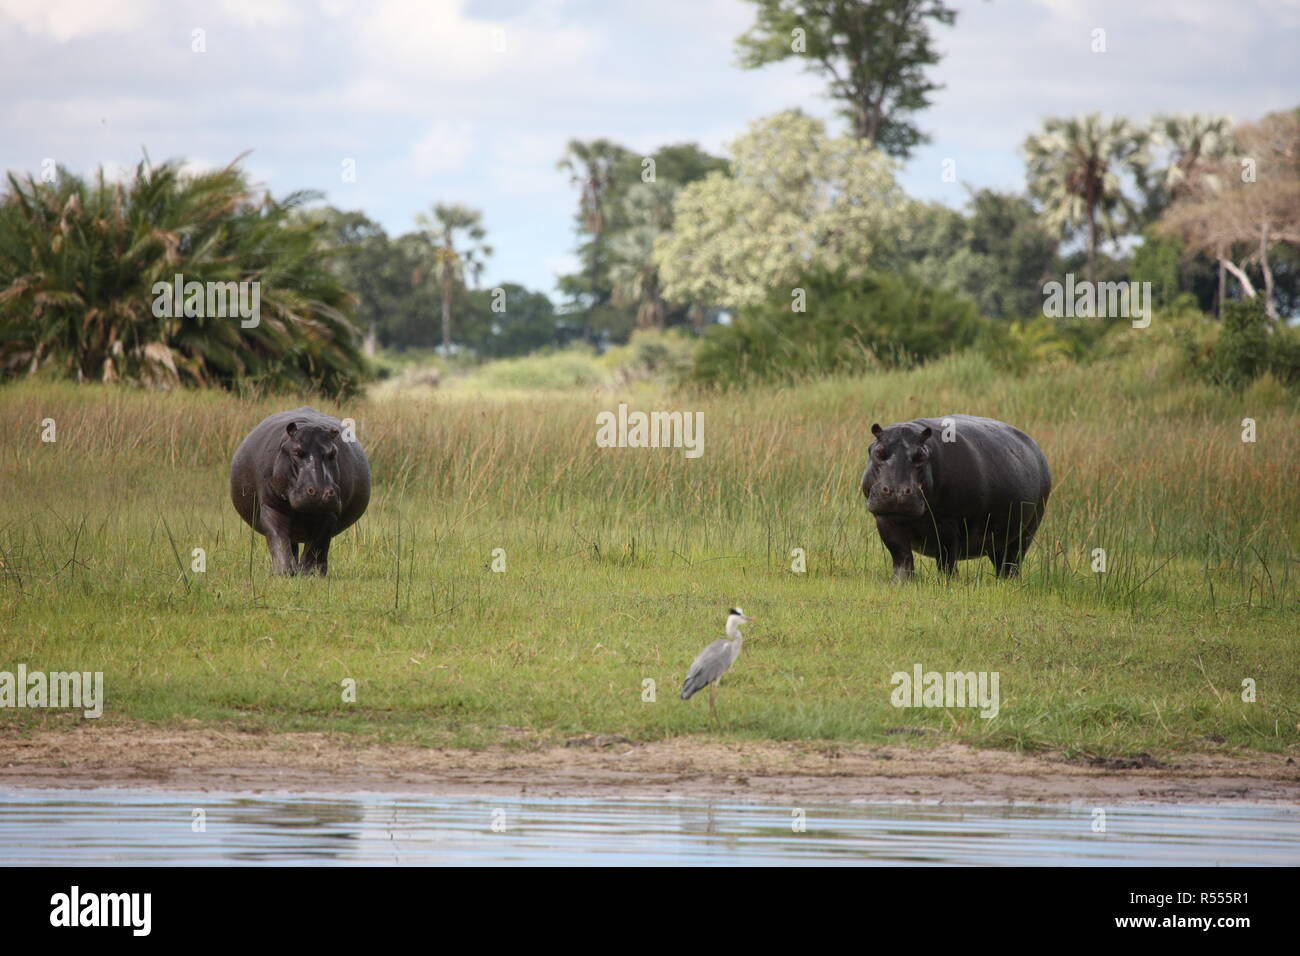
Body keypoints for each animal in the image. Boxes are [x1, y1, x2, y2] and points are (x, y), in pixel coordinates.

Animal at [230, 407, 371, 576]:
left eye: (333, 453)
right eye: (296, 452)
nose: (321, 491)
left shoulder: (329, 513)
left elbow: (316, 543)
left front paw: (308, 574)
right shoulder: (272, 506)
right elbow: (278, 538)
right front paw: (283, 572)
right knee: (290, 543)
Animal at [861, 415, 1051, 581]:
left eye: (921, 457)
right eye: (878, 453)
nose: (897, 491)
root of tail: (1036, 448)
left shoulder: (949, 523)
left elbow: (946, 558)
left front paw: (948, 583)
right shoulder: (885, 519)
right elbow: (901, 556)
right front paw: (900, 583)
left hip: (1027, 530)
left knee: (1013, 560)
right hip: (998, 538)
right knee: (1001, 560)